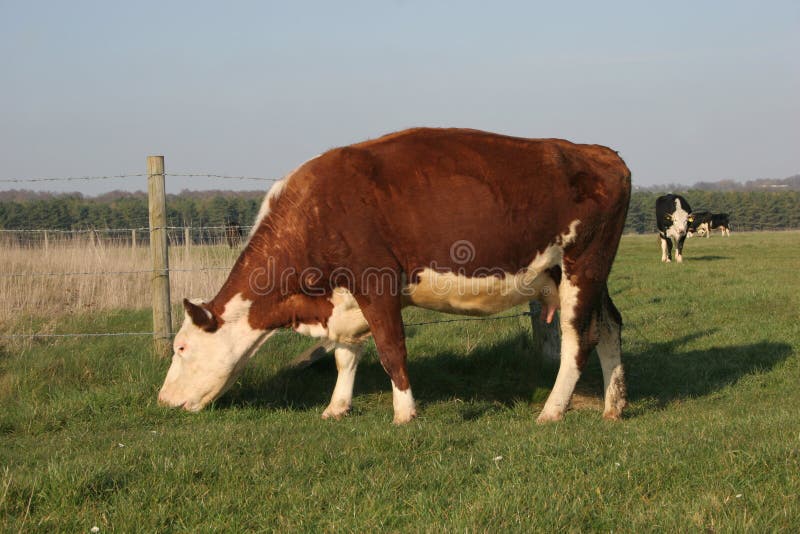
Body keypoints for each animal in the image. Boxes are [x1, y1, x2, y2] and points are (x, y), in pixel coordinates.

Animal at [157, 128, 632, 424]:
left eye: (181, 347)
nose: (162, 400)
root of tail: (602, 153)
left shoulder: (377, 283)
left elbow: (391, 351)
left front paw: (404, 413)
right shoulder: (344, 300)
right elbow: (345, 355)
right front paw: (336, 408)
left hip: (583, 265)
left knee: (578, 338)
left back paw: (551, 410)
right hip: (582, 274)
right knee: (610, 326)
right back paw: (614, 406)